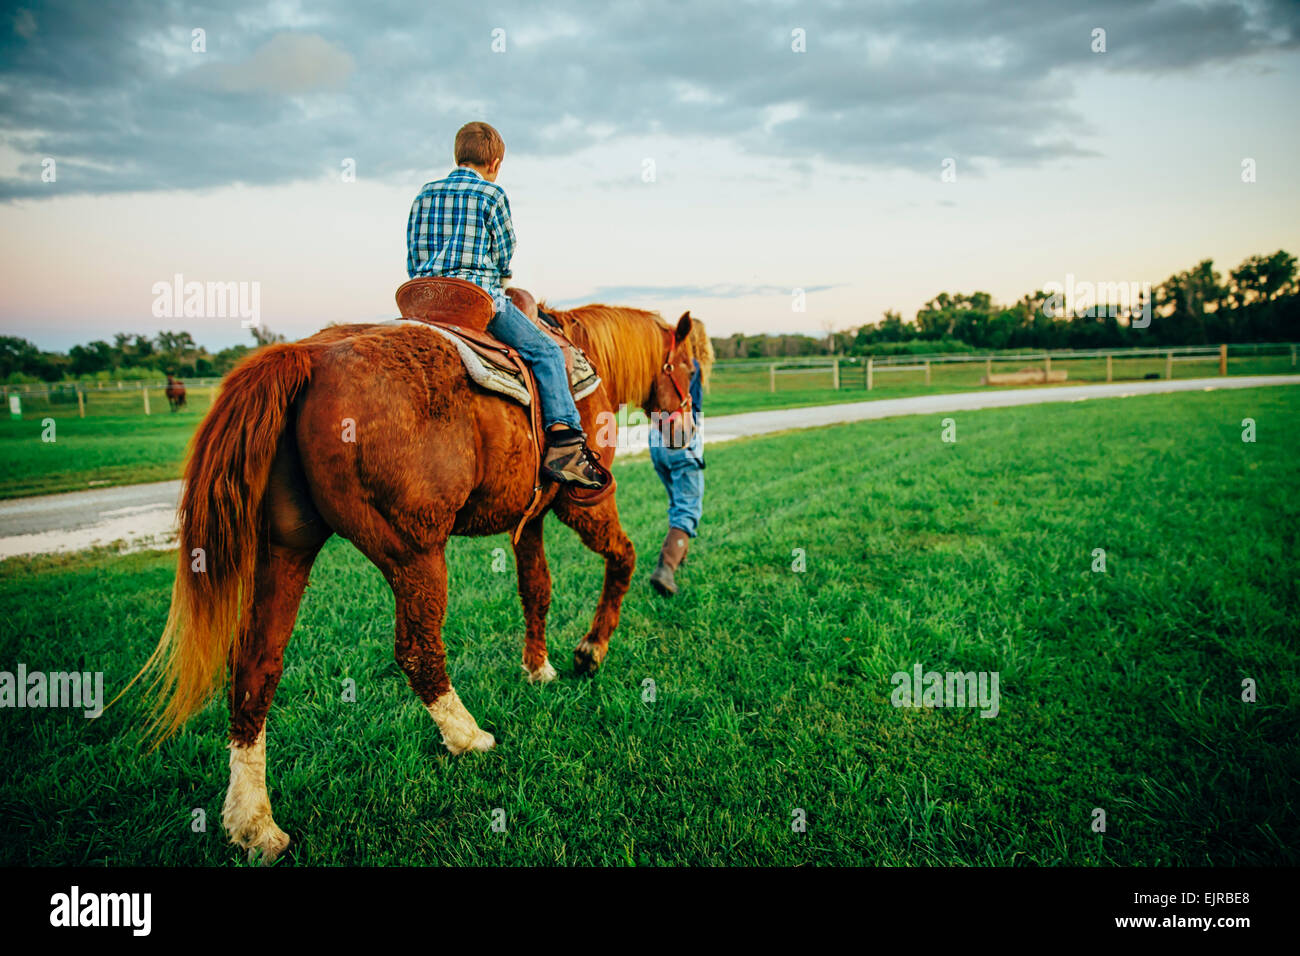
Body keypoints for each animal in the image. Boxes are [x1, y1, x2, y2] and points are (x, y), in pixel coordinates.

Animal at [134, 302, 710, 862]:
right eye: (687, 367)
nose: (685, 432)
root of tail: (307, 357)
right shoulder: (582, 504)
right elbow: (623, 560)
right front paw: (591, 650)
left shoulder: (530, 519)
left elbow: (536, 589)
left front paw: (538, 667)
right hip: (415, 554)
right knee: (417, 649)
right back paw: (467, 735)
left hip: (287, 552)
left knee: (257, 666)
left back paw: (254, 823)